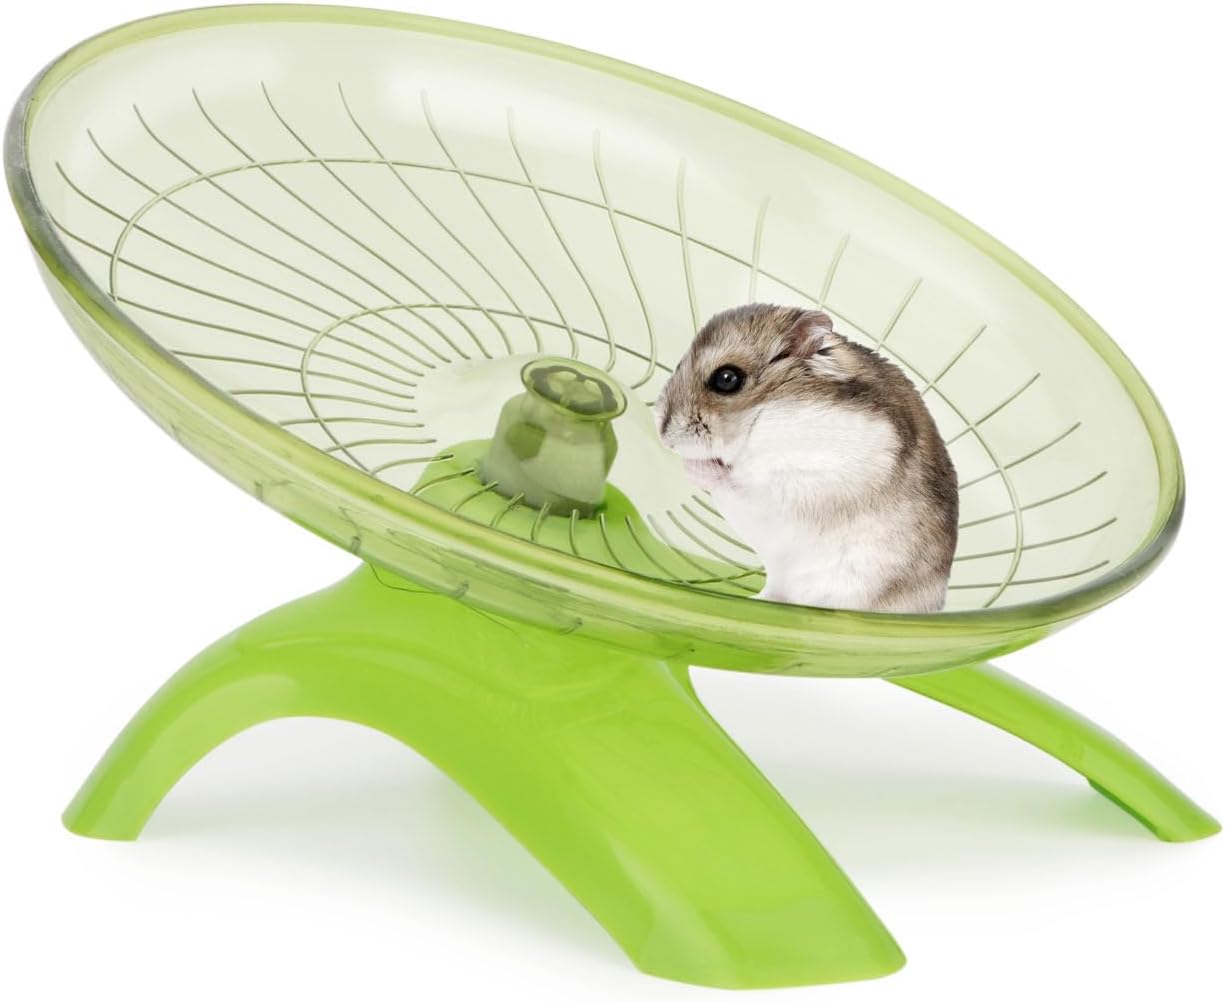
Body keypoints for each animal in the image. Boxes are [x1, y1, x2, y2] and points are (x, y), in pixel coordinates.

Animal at [654, 304, 958, 613]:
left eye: (726, 379)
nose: (662, 434)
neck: (761, 417)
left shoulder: (811, 479)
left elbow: (741, 482)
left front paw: (694, 467)